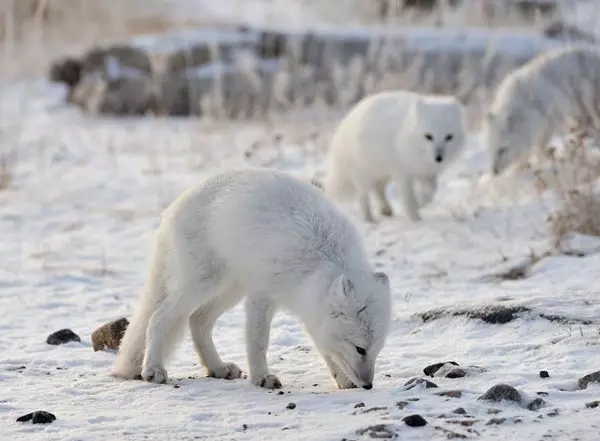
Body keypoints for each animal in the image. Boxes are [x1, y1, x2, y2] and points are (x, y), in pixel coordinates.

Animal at [113, 168, 394, 388]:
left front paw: (343, 380)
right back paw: (153, 370)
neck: (321, 262)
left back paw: (217, 368)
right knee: (158, 318)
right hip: (203, 284)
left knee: (197, 321)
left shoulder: (311, 309)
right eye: (359, 348)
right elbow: (258, 341)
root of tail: (173, 208)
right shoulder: (262, 294)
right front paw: (261, 378)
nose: (368, 385)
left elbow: (326, 348)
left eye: (377, 349)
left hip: (229, 291)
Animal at [324, 89, 468, 222]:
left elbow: (431, 191)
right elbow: (408, 199)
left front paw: (420, 203)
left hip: (383, 172)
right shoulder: (403, 173)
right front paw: (416, 220)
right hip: (364, 174)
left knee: (378, 189)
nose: (438, 158)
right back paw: (369, 219)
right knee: (363, 196)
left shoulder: (426, 173)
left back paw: (386, 209)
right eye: (428, 136)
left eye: (449, 137)